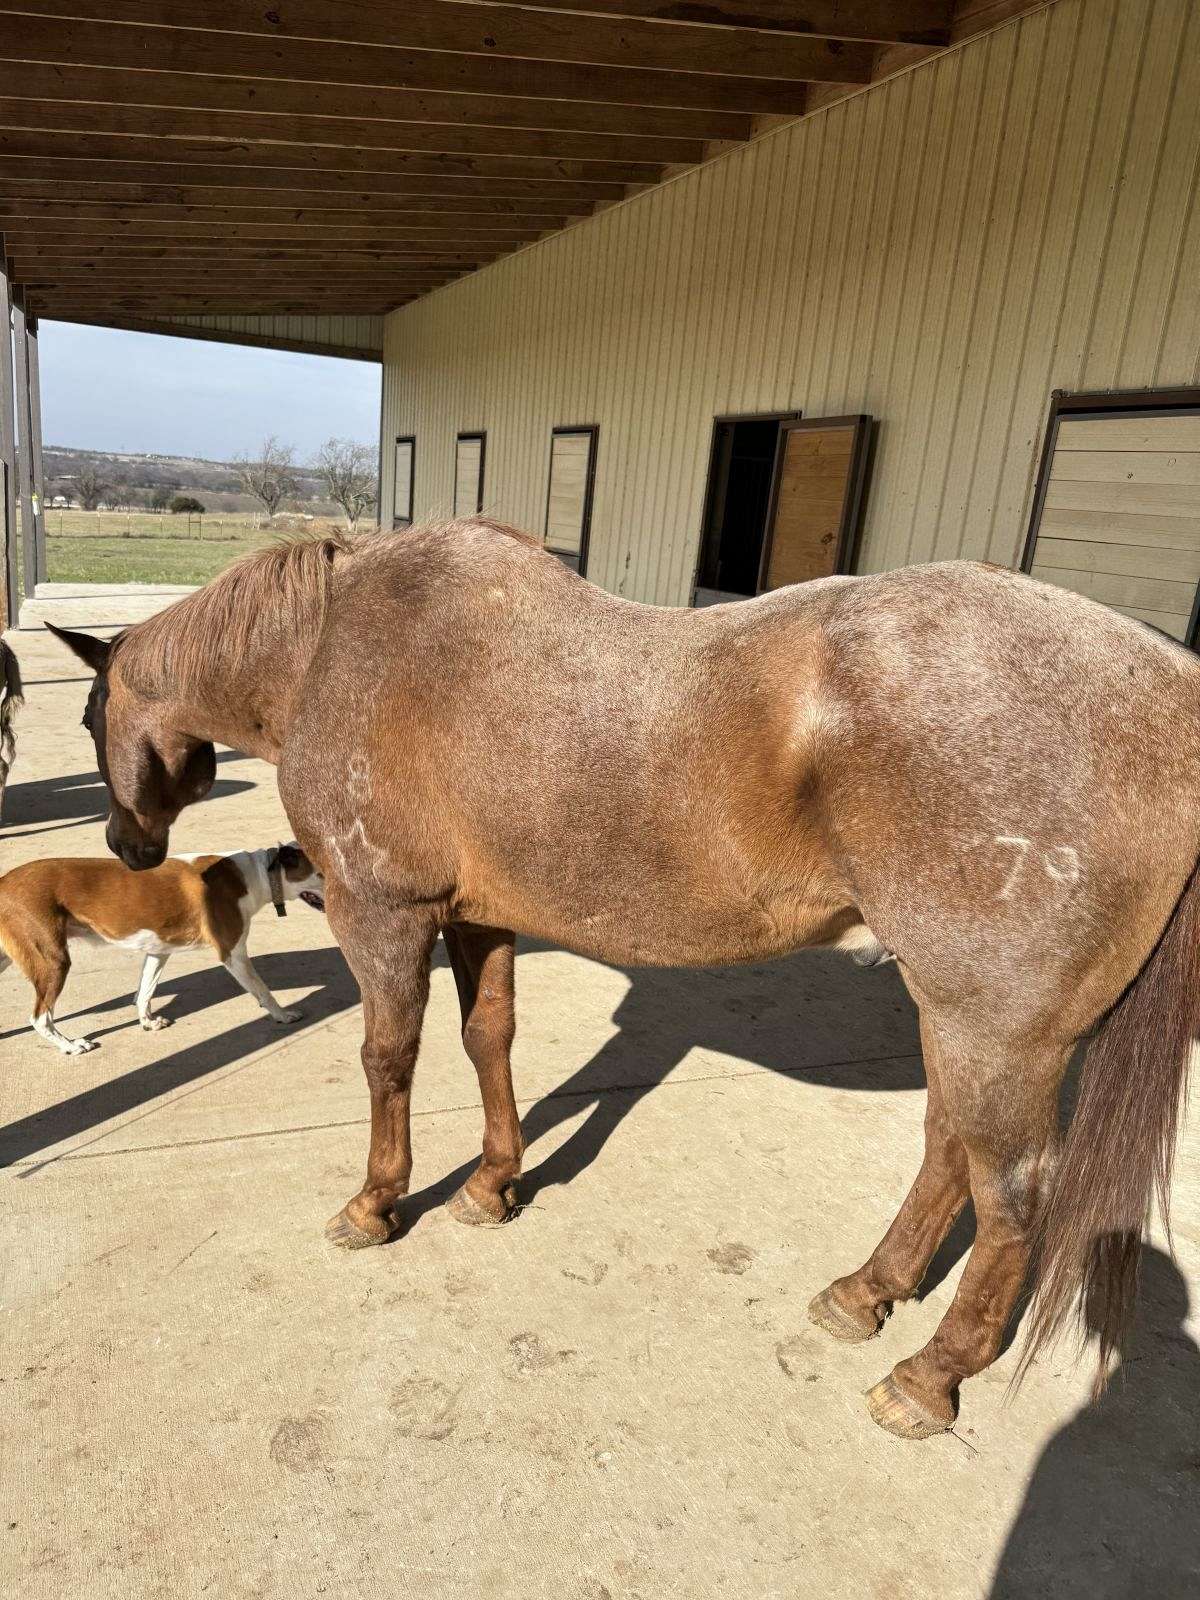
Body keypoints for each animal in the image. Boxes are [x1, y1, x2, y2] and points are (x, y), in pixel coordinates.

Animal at [47, 518, 1200, 1442]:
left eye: (89, 717)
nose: (126, 847)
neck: (332, 649)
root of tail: (1170, 693)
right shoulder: (480, 920)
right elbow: (488, 1041)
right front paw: (490, 1186)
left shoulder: (383, 915)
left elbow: (388, 1057)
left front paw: (376, 1204)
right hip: (959, 1019)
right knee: (946, 1152)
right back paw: (863, 1294)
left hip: (996, 1030)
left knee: (1010, 1197)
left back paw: (927, 1377)